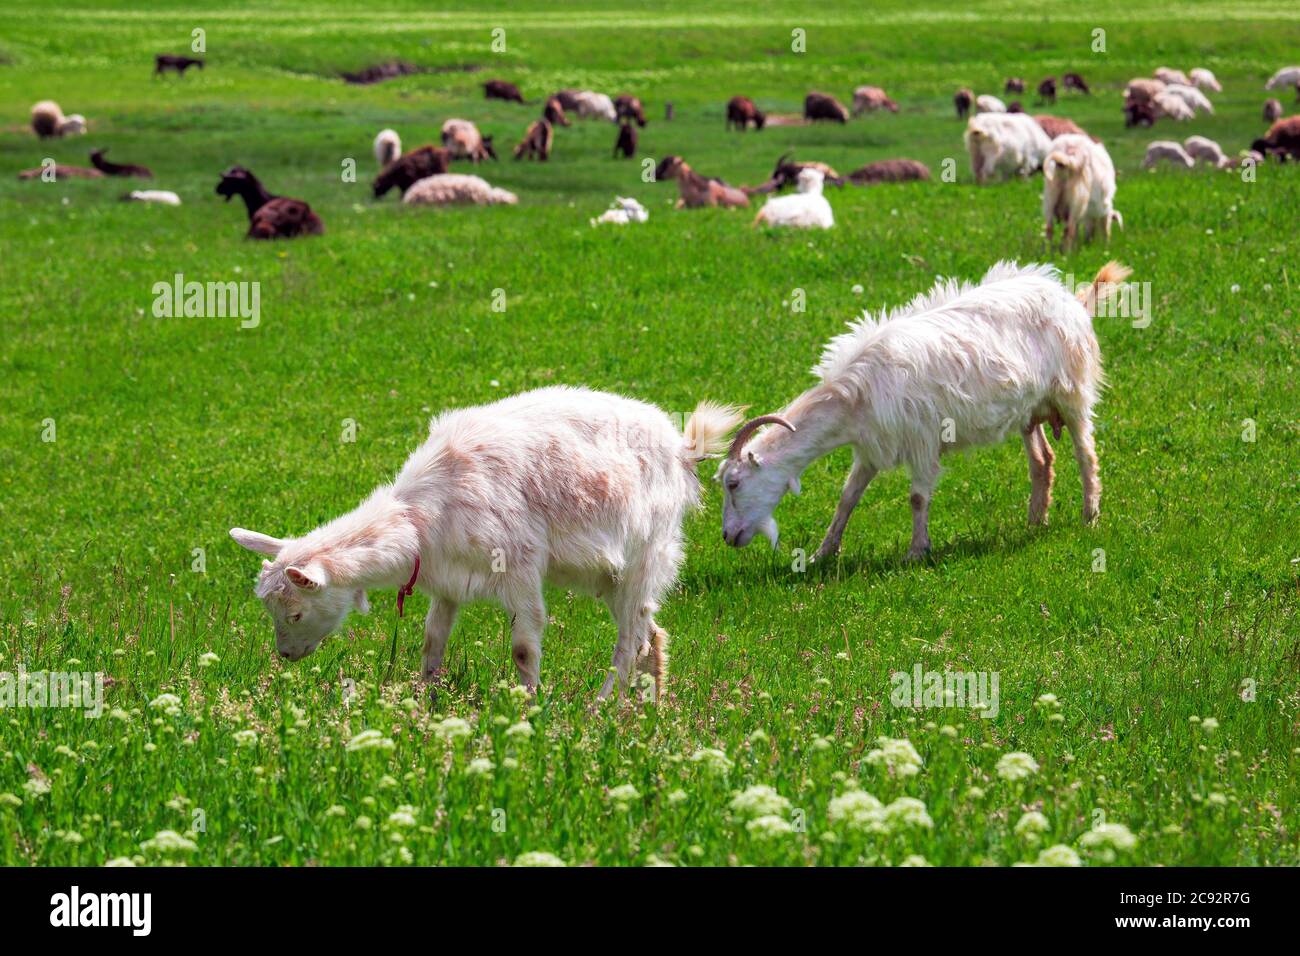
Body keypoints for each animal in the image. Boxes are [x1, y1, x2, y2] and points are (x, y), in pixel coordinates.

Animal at [231, 387, 744, 700]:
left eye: (296, 613)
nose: (286, 655)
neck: (421, 517)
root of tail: (683, 448)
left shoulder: (518, 566)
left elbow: (523, 647)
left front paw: (530, 706)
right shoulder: (447, 579)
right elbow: (432, 641)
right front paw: (424, 698)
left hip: (648, 551)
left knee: (629, 640)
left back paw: (600, 707)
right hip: (612, 574)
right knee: (650, 632)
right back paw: (646, 708)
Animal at [714, 261, 1130, 561]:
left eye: (733, 483)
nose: (727, 536)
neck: (856, 397)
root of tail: (1073, 299)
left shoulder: (923, 439)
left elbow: (916, 498)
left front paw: (917, 552)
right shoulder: (871, 448)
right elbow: (847, 498)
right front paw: (823, 553)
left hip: (1072, 392)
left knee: (1086, 454)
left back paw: (1089, 516)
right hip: (1030, 409)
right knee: (1043, 460)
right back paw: (1034, 522)